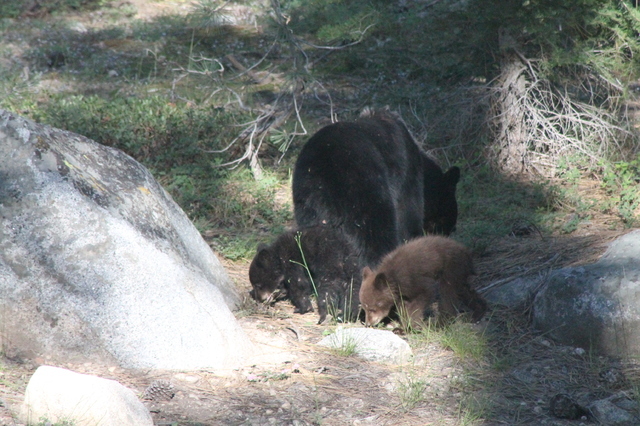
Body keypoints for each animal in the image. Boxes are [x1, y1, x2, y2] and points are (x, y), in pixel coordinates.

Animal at [292, 109, 460, 267]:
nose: (448, 233)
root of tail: (319, 177)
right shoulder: (408, 180)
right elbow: (409, 219)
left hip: (308, 210)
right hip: (363, 195)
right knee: (376, 240)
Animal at [359, 236, 487, 331]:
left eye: (372, 308)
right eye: (364, 308)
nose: (368, 323)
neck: (394, 278)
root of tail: (467, 253)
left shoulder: (415, 281)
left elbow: (420, 300)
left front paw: (412, 325)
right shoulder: (401, 294)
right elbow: (403, 307)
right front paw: (402, 326)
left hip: (450, 269)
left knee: (448, 295)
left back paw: (441, 323)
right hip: (459, 275)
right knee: (463, 291)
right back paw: (478, 312)